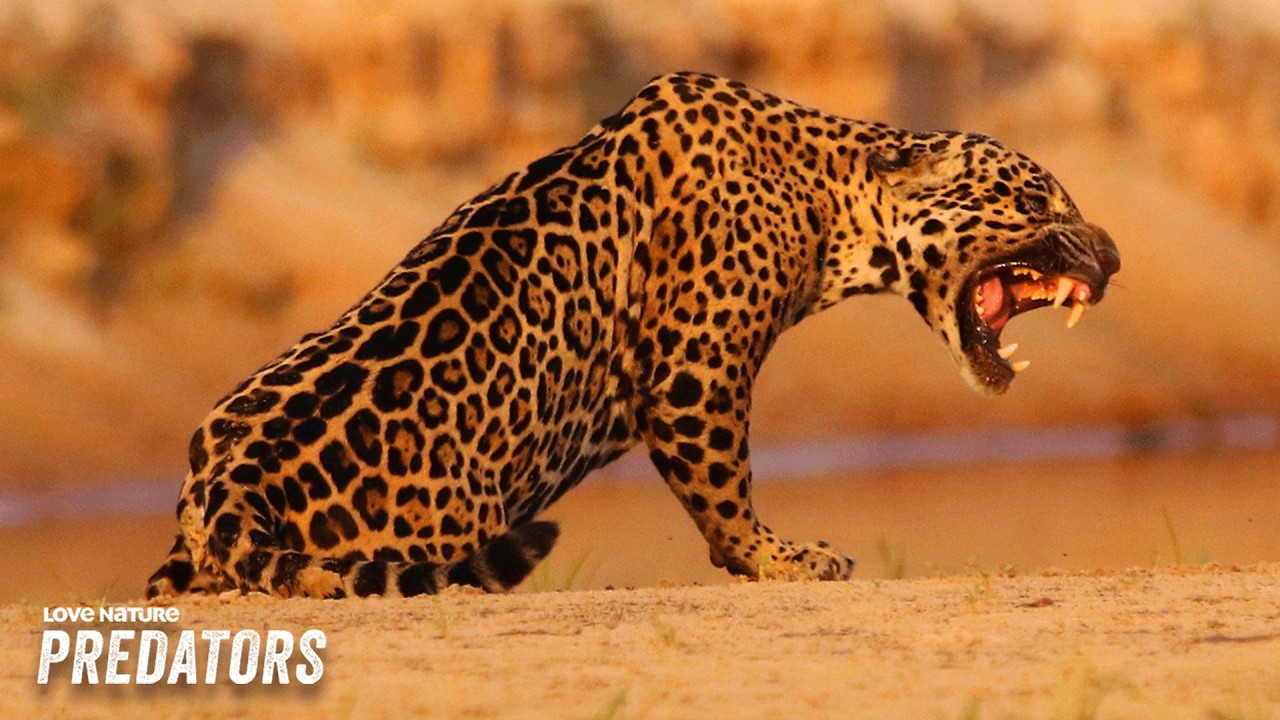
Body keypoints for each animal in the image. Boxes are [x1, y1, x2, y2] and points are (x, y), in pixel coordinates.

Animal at [146, 71, 1120, 599]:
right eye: (1041, 199)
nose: (1112, 254)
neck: (830, 197)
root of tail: (224, 483)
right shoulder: (697, 369)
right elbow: (726, 489)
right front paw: (783, 559)